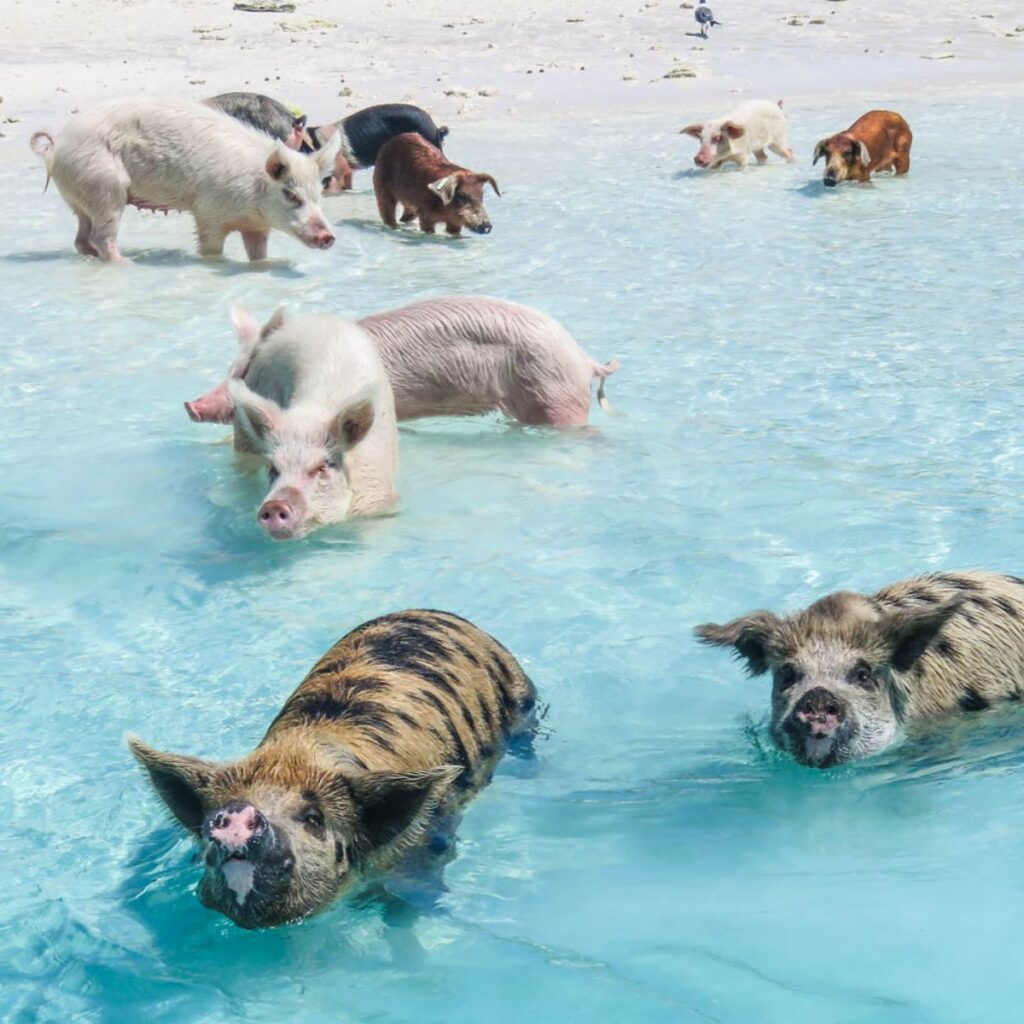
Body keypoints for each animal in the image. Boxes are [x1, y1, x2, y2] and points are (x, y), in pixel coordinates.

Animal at [29, 99, 341, 261]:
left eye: (318, 196)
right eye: (290, 194)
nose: (328, 236)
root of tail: (57, 146)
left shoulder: (257, 227)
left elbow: (259, 255)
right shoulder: (208, 213)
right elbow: (210, 248)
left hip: (81, 194)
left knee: (82, 237)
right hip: (105, 186)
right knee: (101, 236)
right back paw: (126, 262)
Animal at [128, 608, 538, 928]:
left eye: (313, 818)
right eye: (216, 809)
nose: (240, 811)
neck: (304, 752)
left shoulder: (433, 836)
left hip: (523, 703)